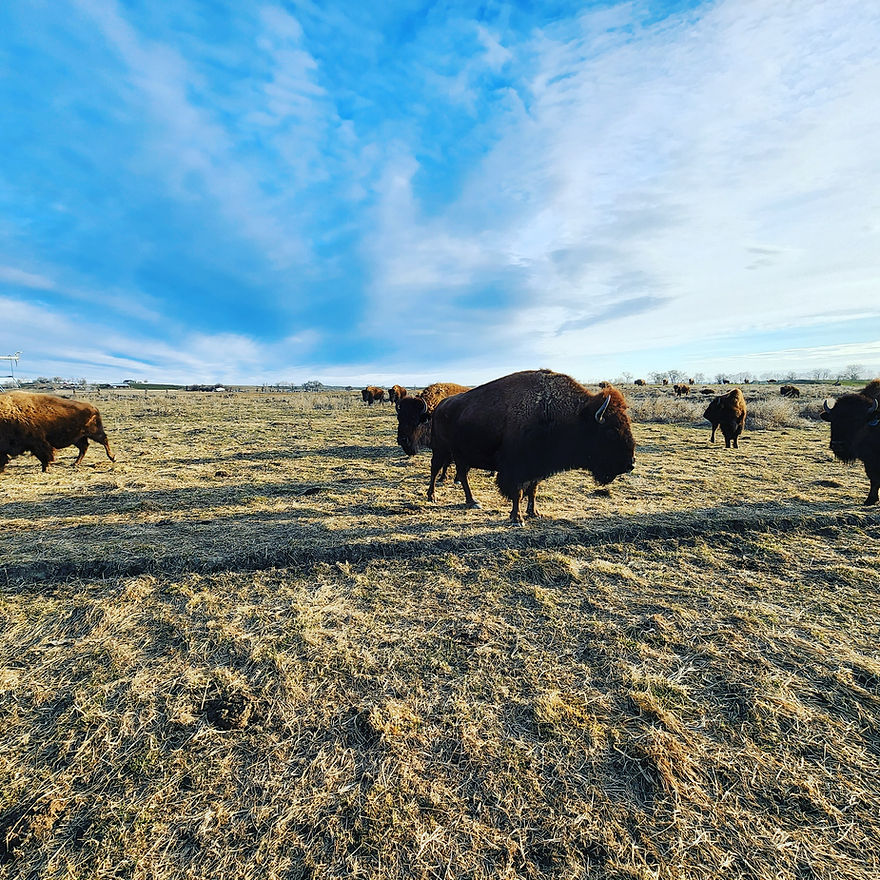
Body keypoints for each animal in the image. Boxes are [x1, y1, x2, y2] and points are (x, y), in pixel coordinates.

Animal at [427, 369, 635, 524]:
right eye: (611, 431)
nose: (630, 464)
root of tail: (440, 405)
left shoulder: (537, 468)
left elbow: (533, 490)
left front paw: (534, 513)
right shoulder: (516, 469)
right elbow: (518, 493)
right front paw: (517, 518)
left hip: (462, 456)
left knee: (462, 476)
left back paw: (472, 501)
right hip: (441, 449)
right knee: (435, 469)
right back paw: (432, 496)